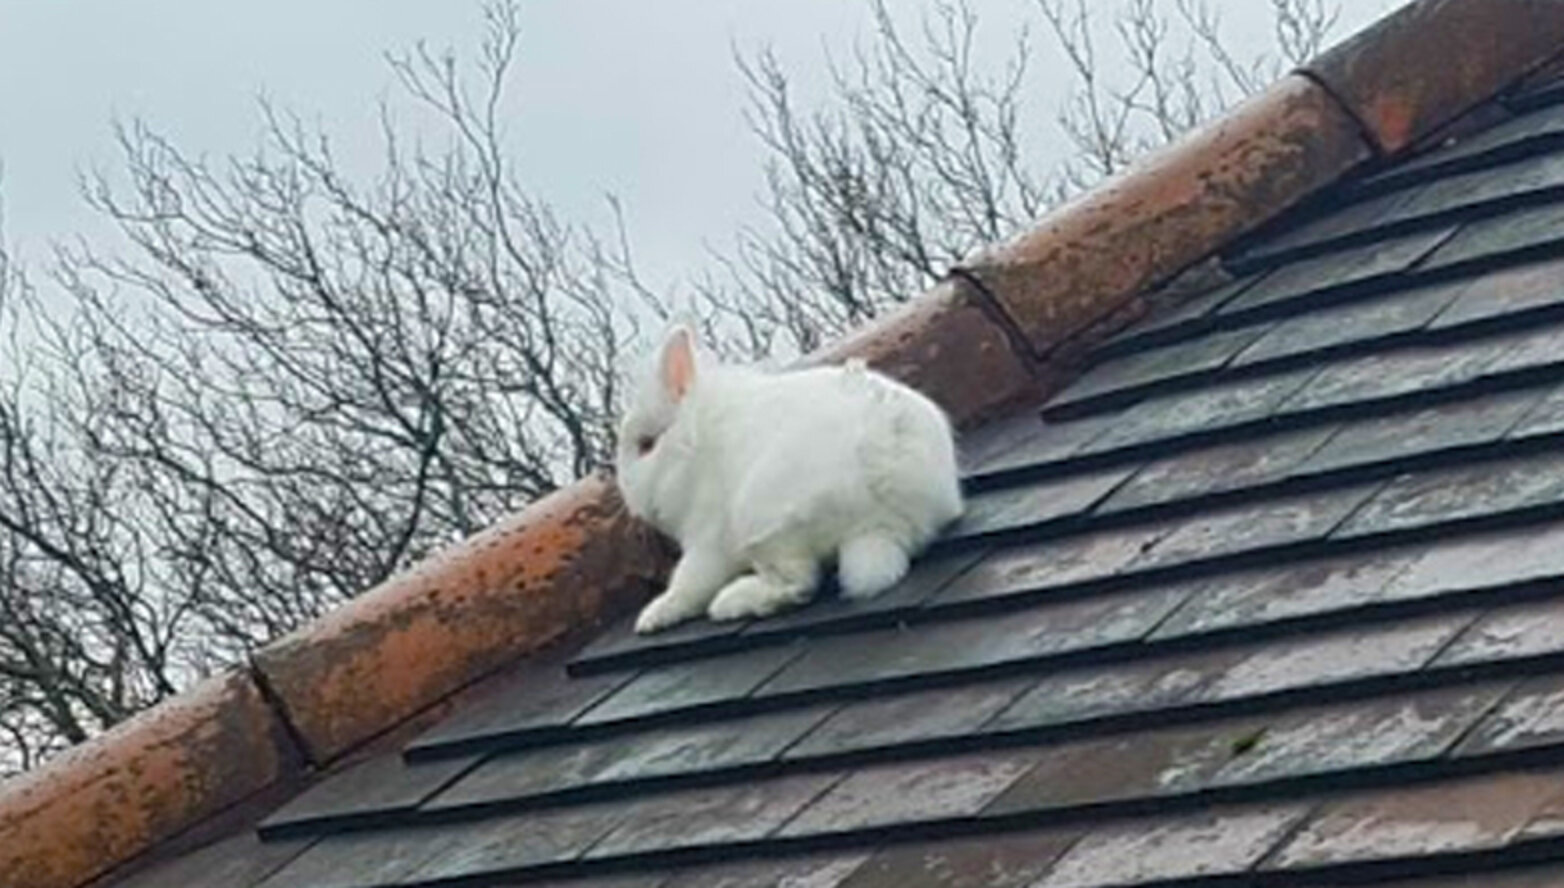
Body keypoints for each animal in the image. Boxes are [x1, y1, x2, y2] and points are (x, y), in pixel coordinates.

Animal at [615, 325, 964, 634]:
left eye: (646, 445)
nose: (628, 492)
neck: (695, 444)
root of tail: (885, 516)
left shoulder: (707, 539)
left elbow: (689, 582)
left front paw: (651, 618)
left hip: (763, 523)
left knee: (798, 585)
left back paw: (730, 602)